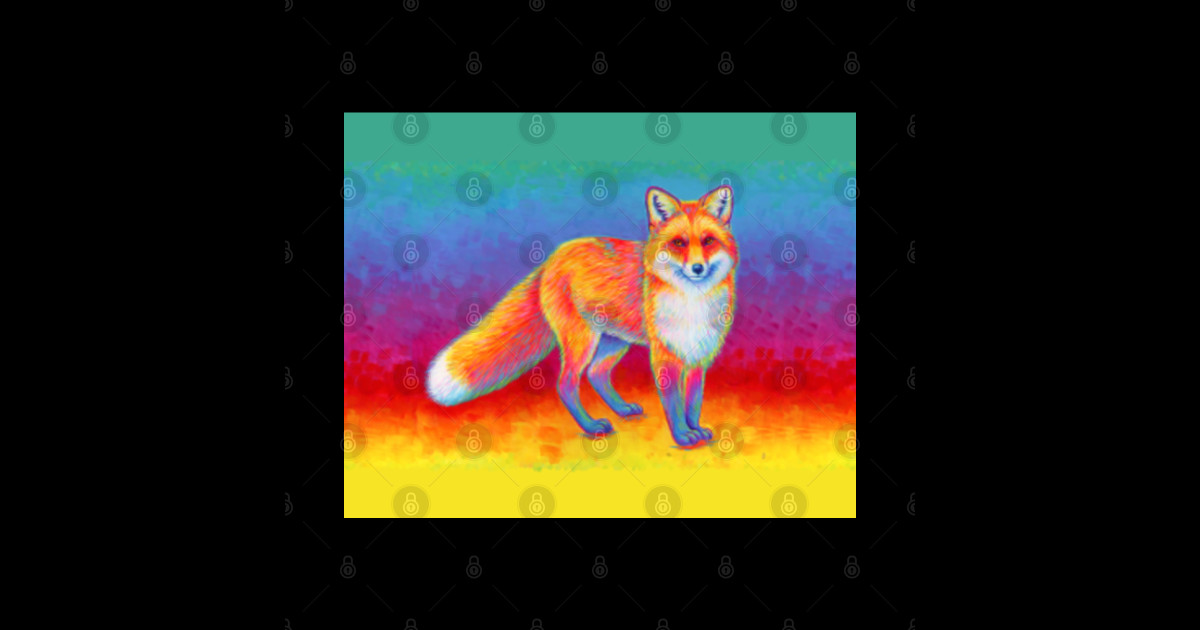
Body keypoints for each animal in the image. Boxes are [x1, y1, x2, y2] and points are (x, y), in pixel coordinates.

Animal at [427, 185, 737, 447]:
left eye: (708, 241)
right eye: (678, 243)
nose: (697, 268)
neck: (692, 301)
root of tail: (552, 258)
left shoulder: (699, 354)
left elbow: (693, 401)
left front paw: (695, 429)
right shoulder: (665, 355)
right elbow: (674, 403)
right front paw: (683, 436)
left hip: (614, 341)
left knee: (596, 373)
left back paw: (621, 409)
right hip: (582, 340)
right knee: (566, 384)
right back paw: (591, 426)